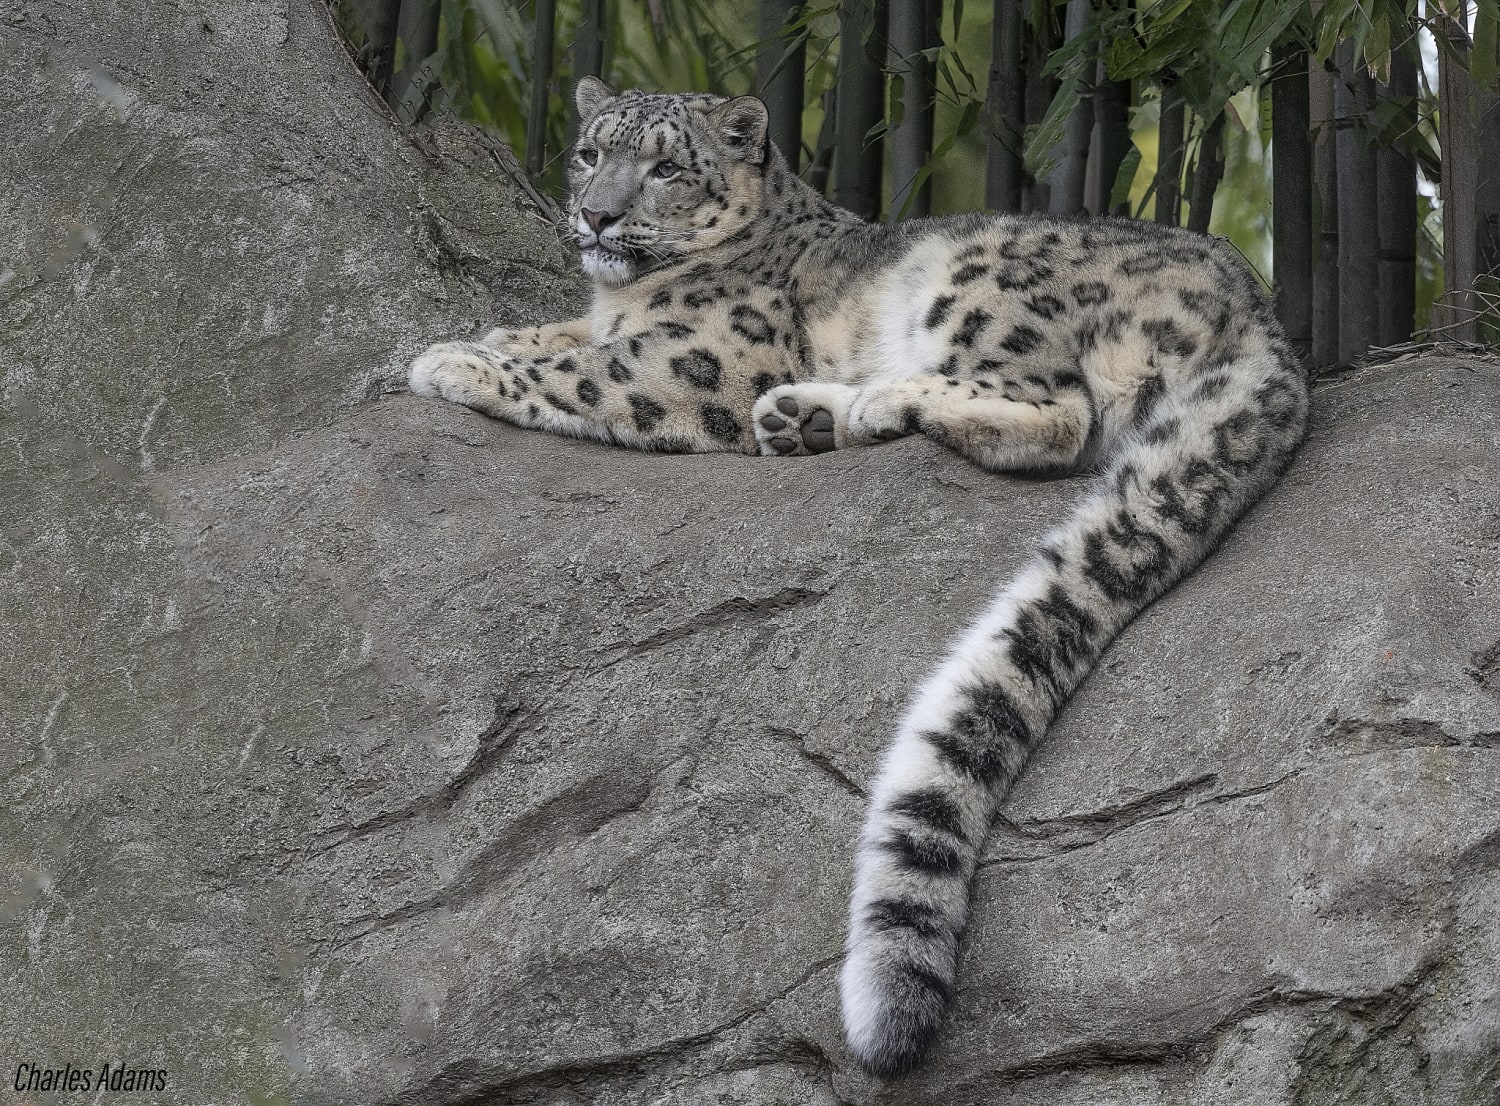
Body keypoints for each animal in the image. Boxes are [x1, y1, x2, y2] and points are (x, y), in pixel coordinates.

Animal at [407, 76, 1309, 1076]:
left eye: (667, 168)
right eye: (590, 152)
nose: (596, 215)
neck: (630, 292)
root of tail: (1262, 314)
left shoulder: (702, 358)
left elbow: (588, 367)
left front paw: (457, 360)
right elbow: (562, 331)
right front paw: (495, 330)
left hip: (983, 291)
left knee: (1060, 415)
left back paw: (873, 400)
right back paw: (805, 416)